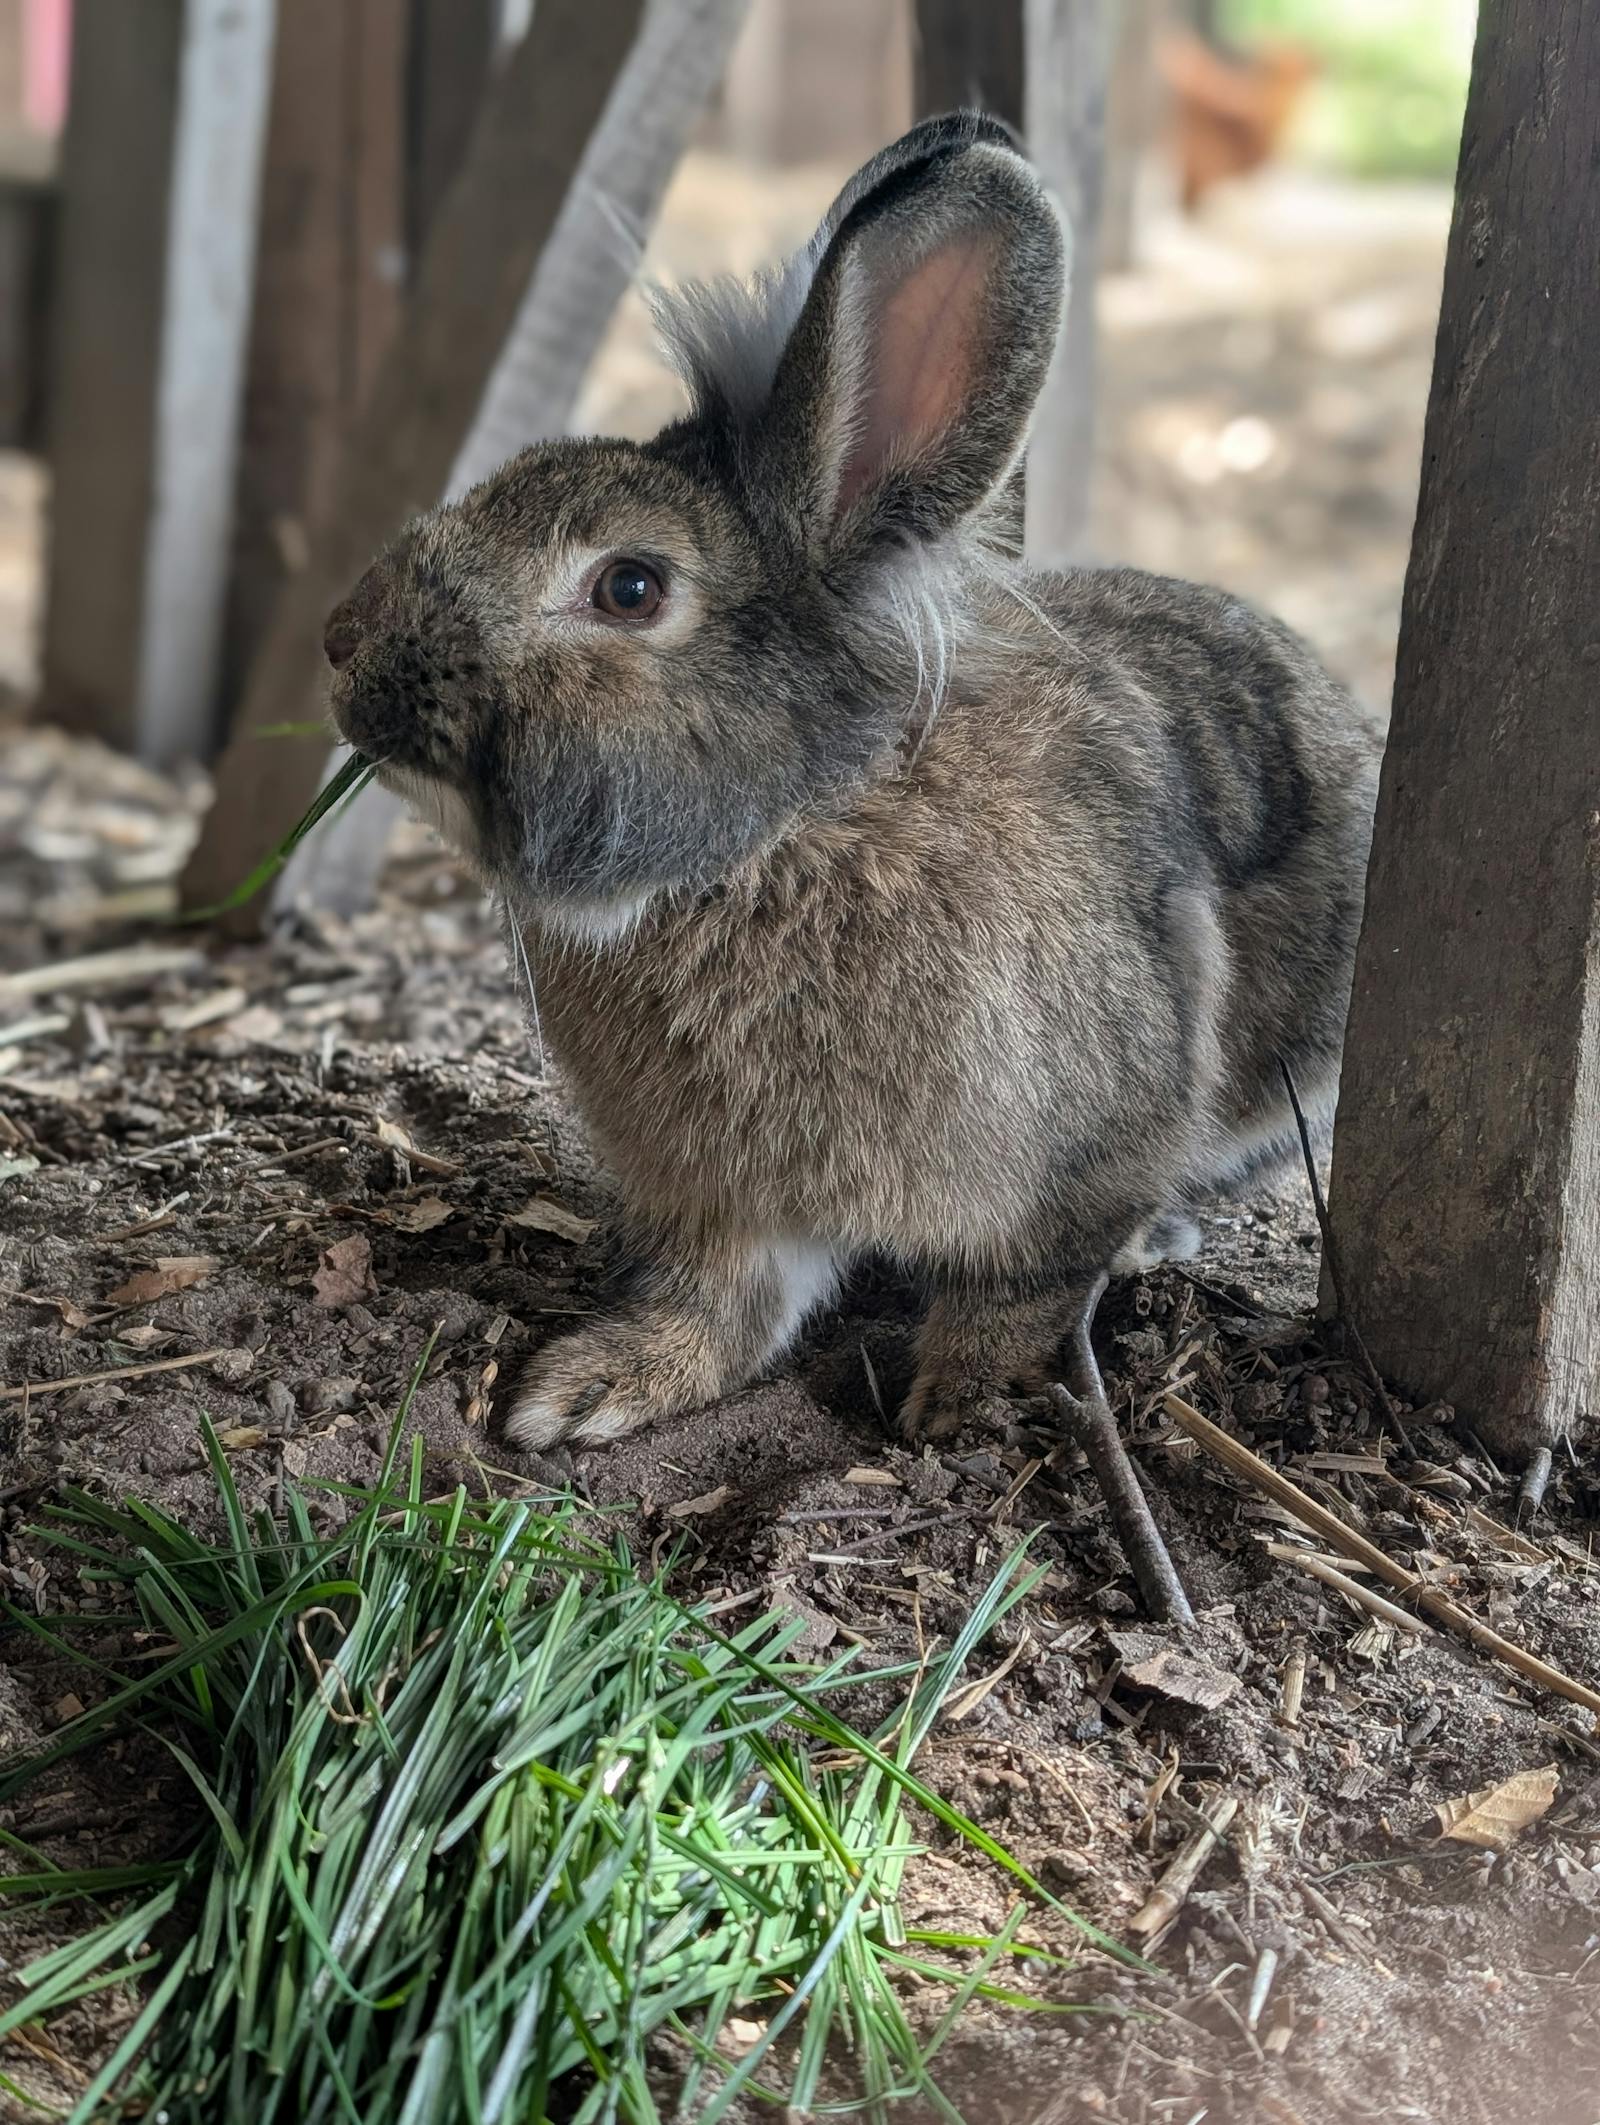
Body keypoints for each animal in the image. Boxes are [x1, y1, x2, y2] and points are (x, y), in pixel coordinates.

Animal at [324, 111, 1383, 1453]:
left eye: (630, 587)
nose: (341, 643)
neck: (786, 833)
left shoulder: (1083, 1153)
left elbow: (1022, 1292)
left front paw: (956, 1408)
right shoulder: (727, 1205)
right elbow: (727, 1302)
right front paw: (590, 1388)